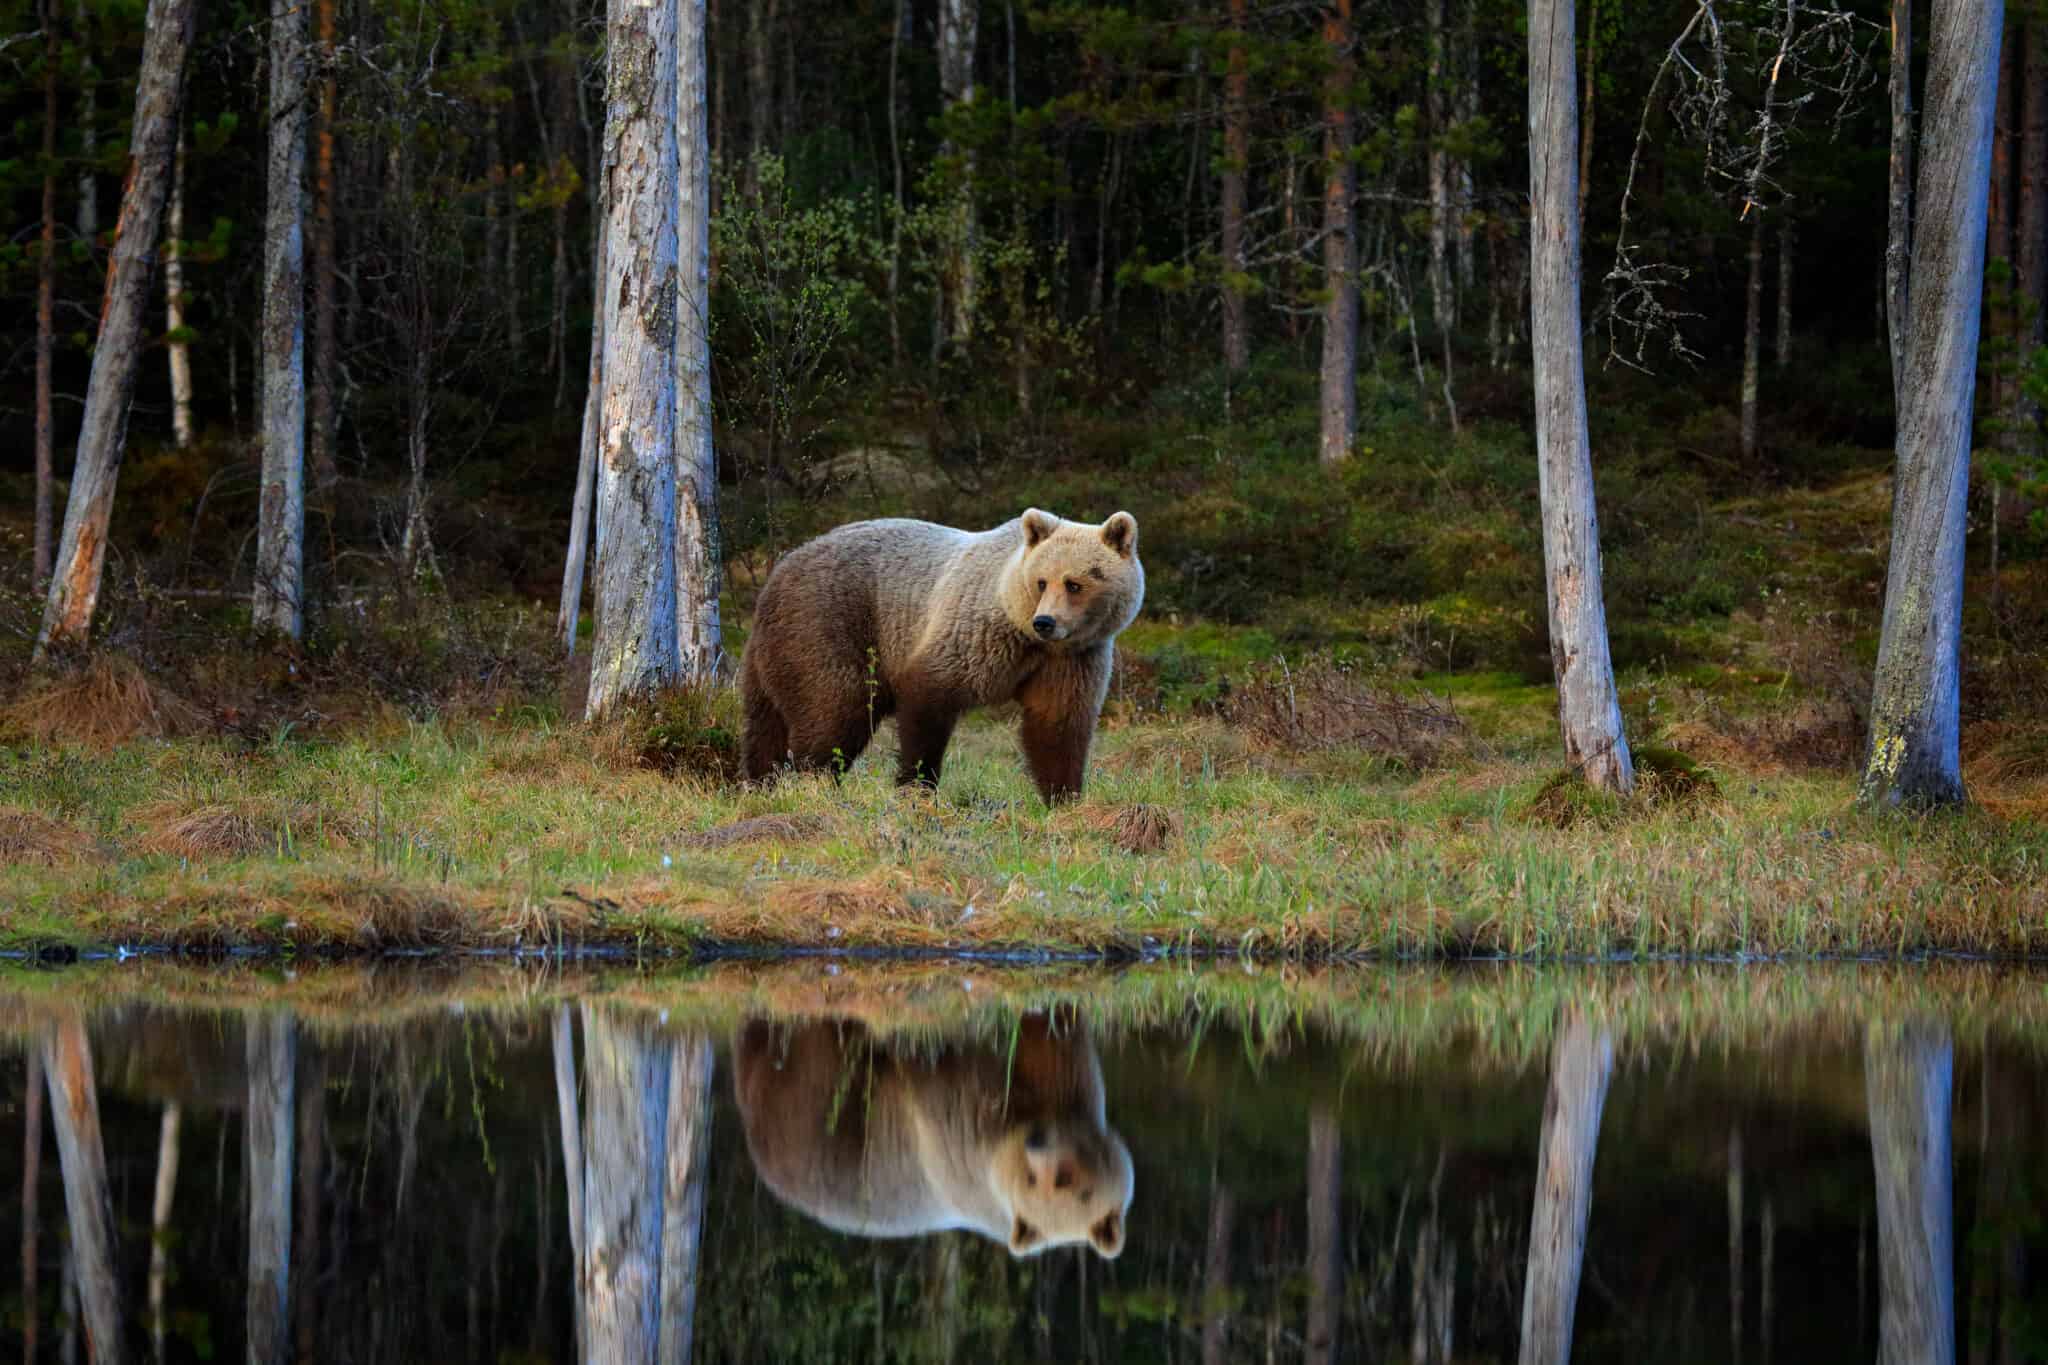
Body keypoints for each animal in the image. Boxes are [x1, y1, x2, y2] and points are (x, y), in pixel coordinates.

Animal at [733, 1010, 1133, 1259]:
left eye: (1066, 1178)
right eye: (1033, 1179)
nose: (1037, 1141)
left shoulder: (1067, 1088)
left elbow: (1051, 1037)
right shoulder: (962, 1131)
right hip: (814, 1117)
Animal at [739, 508, 1144, 803]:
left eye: (1075, 584)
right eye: (1042, 581)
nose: (1045, 621)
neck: (1024, 634)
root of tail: (779, 570)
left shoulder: (1072, 661)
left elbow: (1057, 727)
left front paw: (1063, 798)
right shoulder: (972, 637)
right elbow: (928, 703)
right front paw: (916, 786)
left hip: (773, 653)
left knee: (765, 726)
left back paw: (762, 785)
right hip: (826, 623)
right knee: (834, 707)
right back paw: (815, 783)